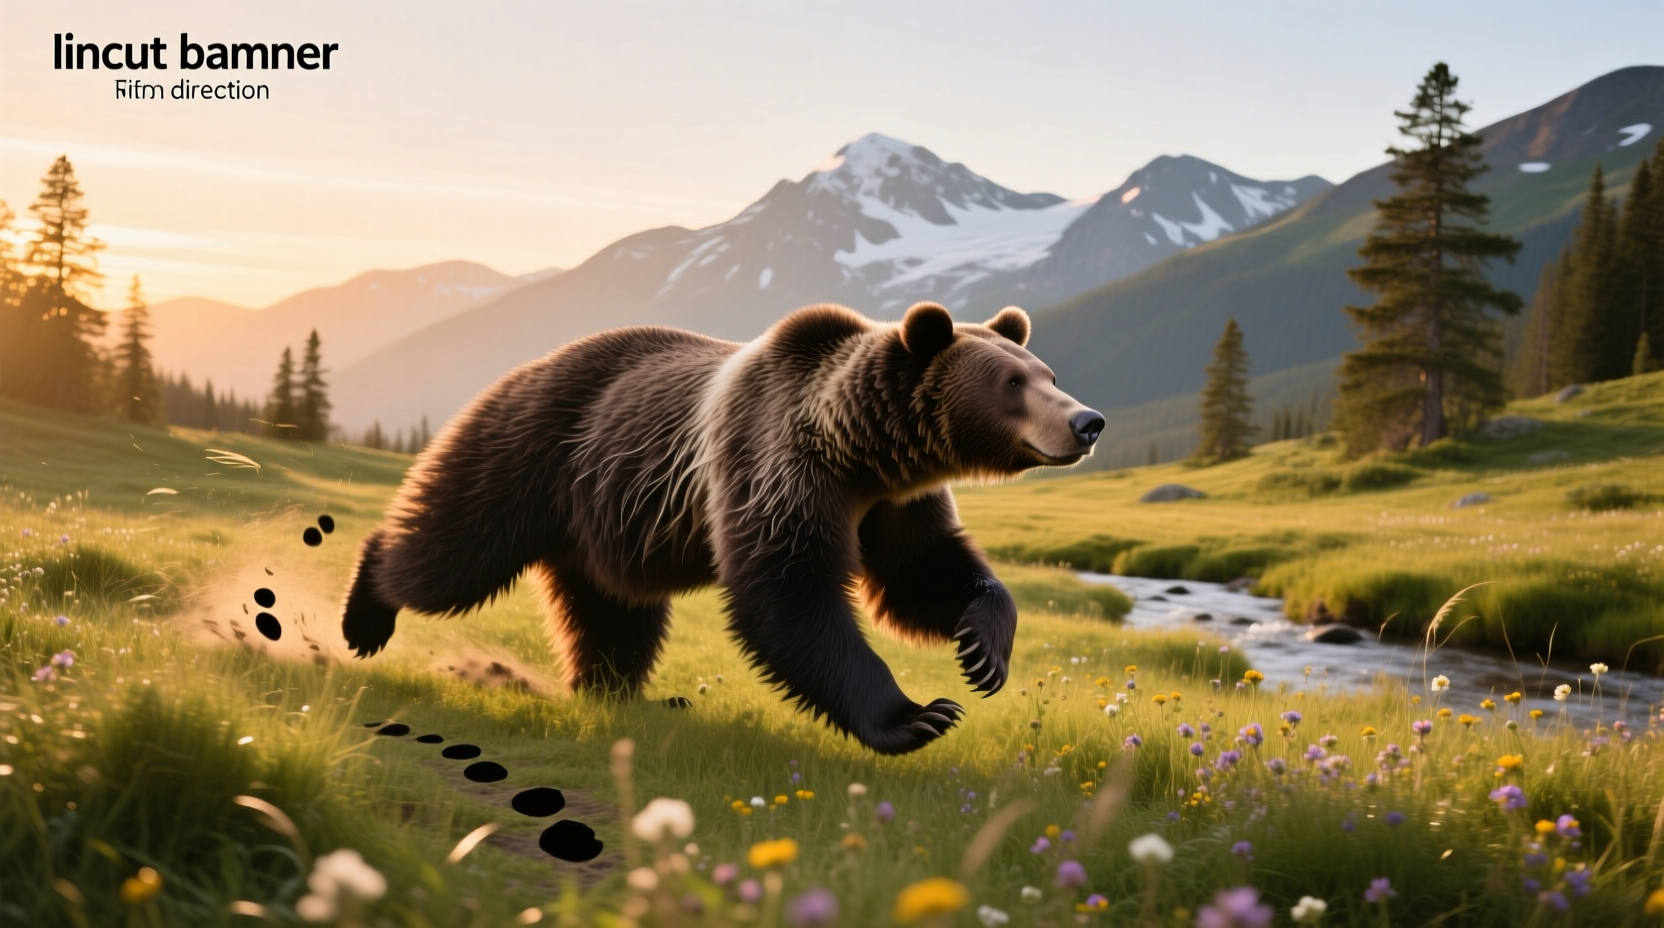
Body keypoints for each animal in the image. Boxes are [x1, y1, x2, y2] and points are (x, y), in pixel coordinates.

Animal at [340, 302, 1103, 754]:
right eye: (1012, 383)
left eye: (1047, 371)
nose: (1087, 420)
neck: (862, 452)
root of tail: (519, 367)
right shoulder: (778, 464)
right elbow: (790, 595)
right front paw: (917, 716)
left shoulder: (893, 503)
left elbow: (924, 570)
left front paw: (982, 651)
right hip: (528, 454)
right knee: (453, 553)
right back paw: (365, 613)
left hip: (603, 518)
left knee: (613, 609)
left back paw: (628, 693)